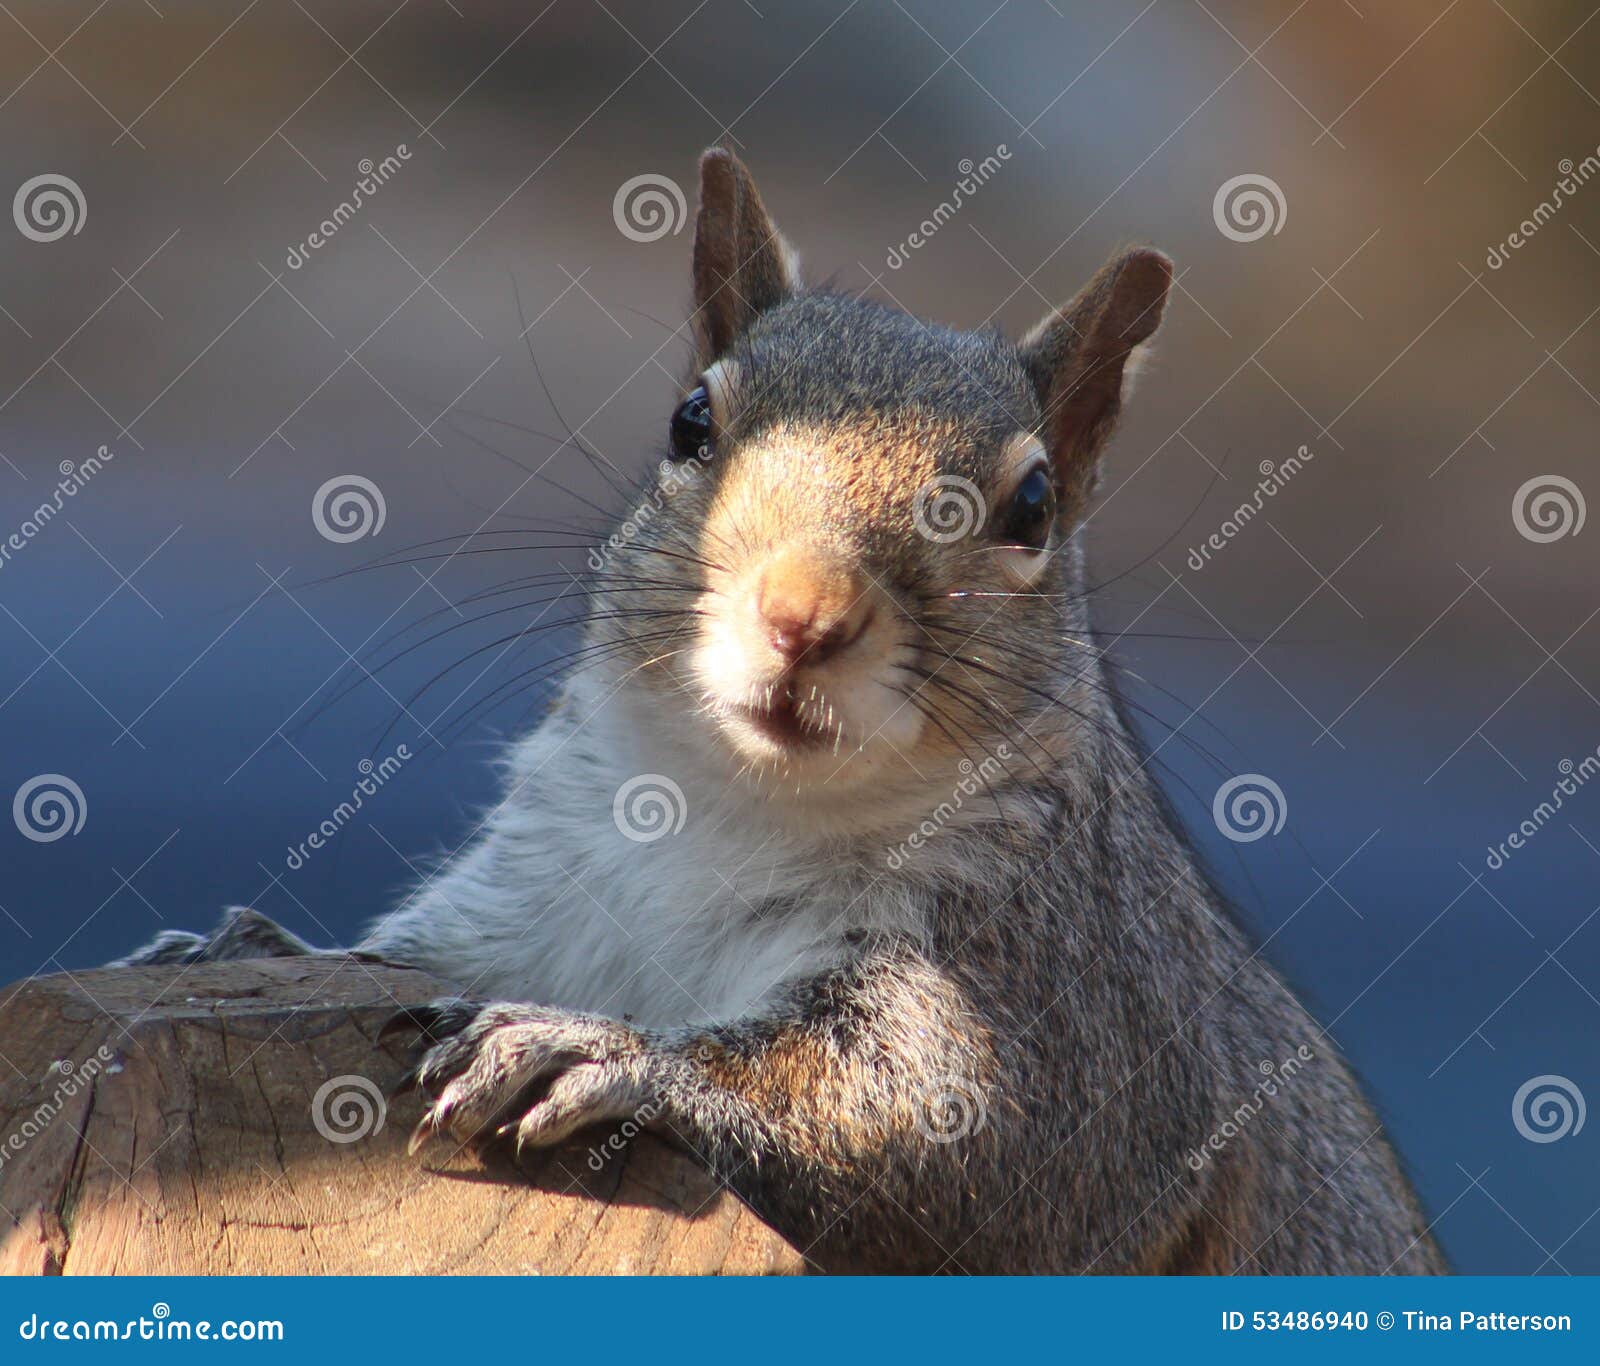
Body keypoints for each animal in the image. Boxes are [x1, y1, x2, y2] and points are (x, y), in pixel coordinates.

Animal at [117, 148, 1445, 1275]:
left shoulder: (1067, 1009)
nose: (805, 613)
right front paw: (255, 947)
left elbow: (934, 1119)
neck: (722, 808)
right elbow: (401, 957)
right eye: (690, 421)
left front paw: (597, 1048)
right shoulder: (527, 895)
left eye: (1031, 506)